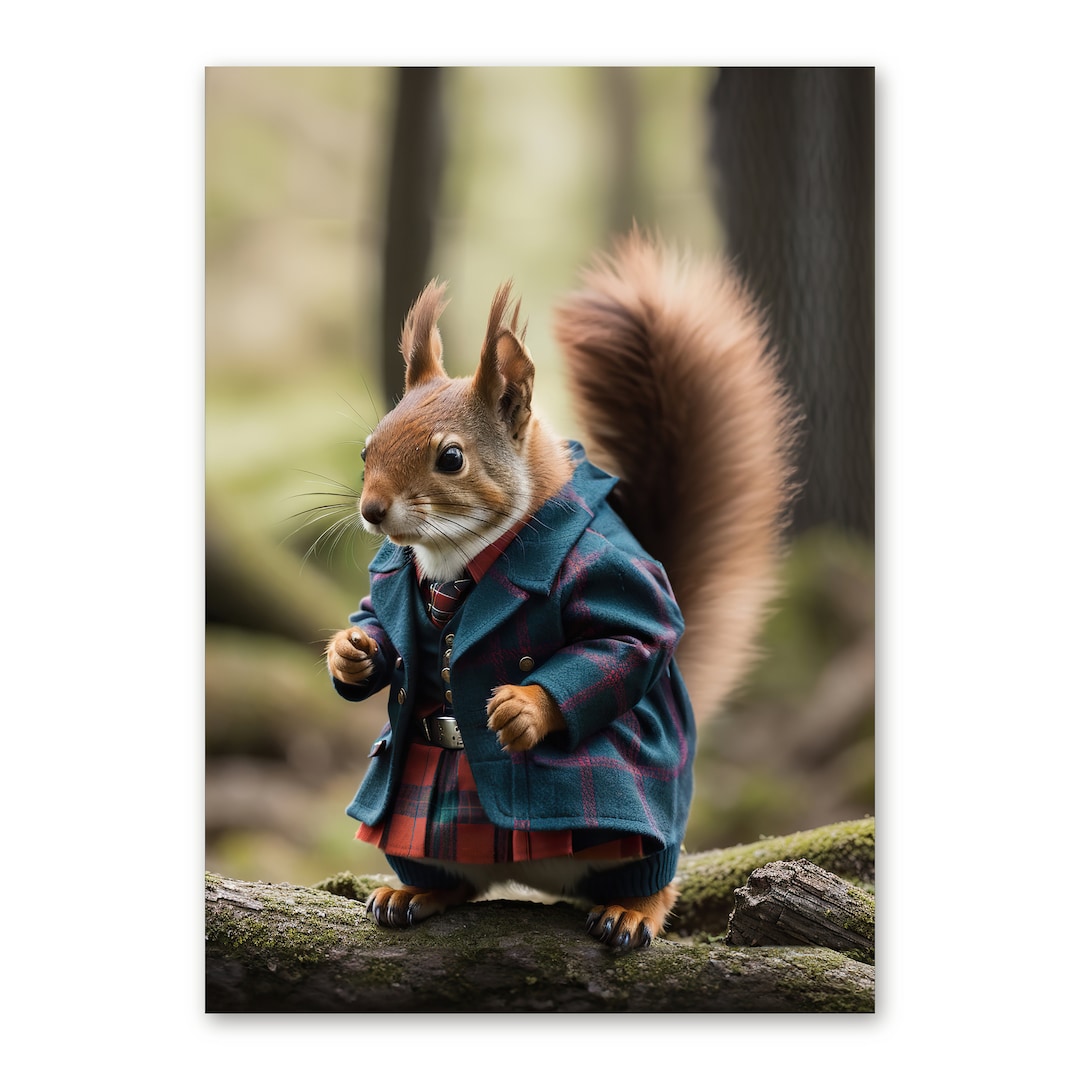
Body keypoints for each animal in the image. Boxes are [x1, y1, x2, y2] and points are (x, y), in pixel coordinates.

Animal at [325, 230, 797, 951]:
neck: (454, 561)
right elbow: (375, 623)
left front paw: (524, 709)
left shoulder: (613, 579)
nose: (372, 511)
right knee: (443, 869)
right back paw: (414, 890)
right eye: (365, 450)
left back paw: (632, 909)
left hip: (640, 842)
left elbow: (627, 638)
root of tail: (541, 879)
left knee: (654, 876)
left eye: (451, 458)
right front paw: (352, 654)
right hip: (415, 828)